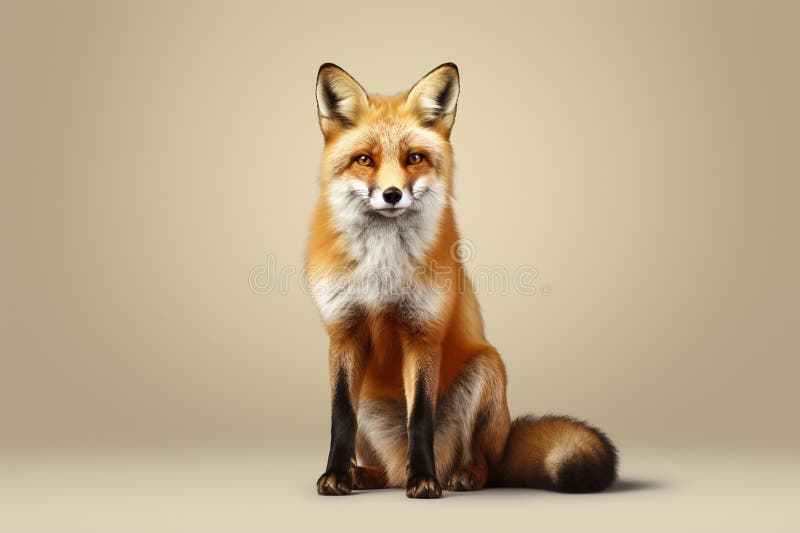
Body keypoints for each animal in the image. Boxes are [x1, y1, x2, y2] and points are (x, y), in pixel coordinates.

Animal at [306, 62, 618, 498]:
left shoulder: (423, 334)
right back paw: (364, 475)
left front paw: (424, 480)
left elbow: (420, 416)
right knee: (384, 470)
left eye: (414, 158)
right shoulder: (343, 333)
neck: (382, 269)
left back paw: (459, 474)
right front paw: (335, 475)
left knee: (485, 464)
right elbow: (340, 418)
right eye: (364, 159)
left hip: (488, 369)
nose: (392, 194)